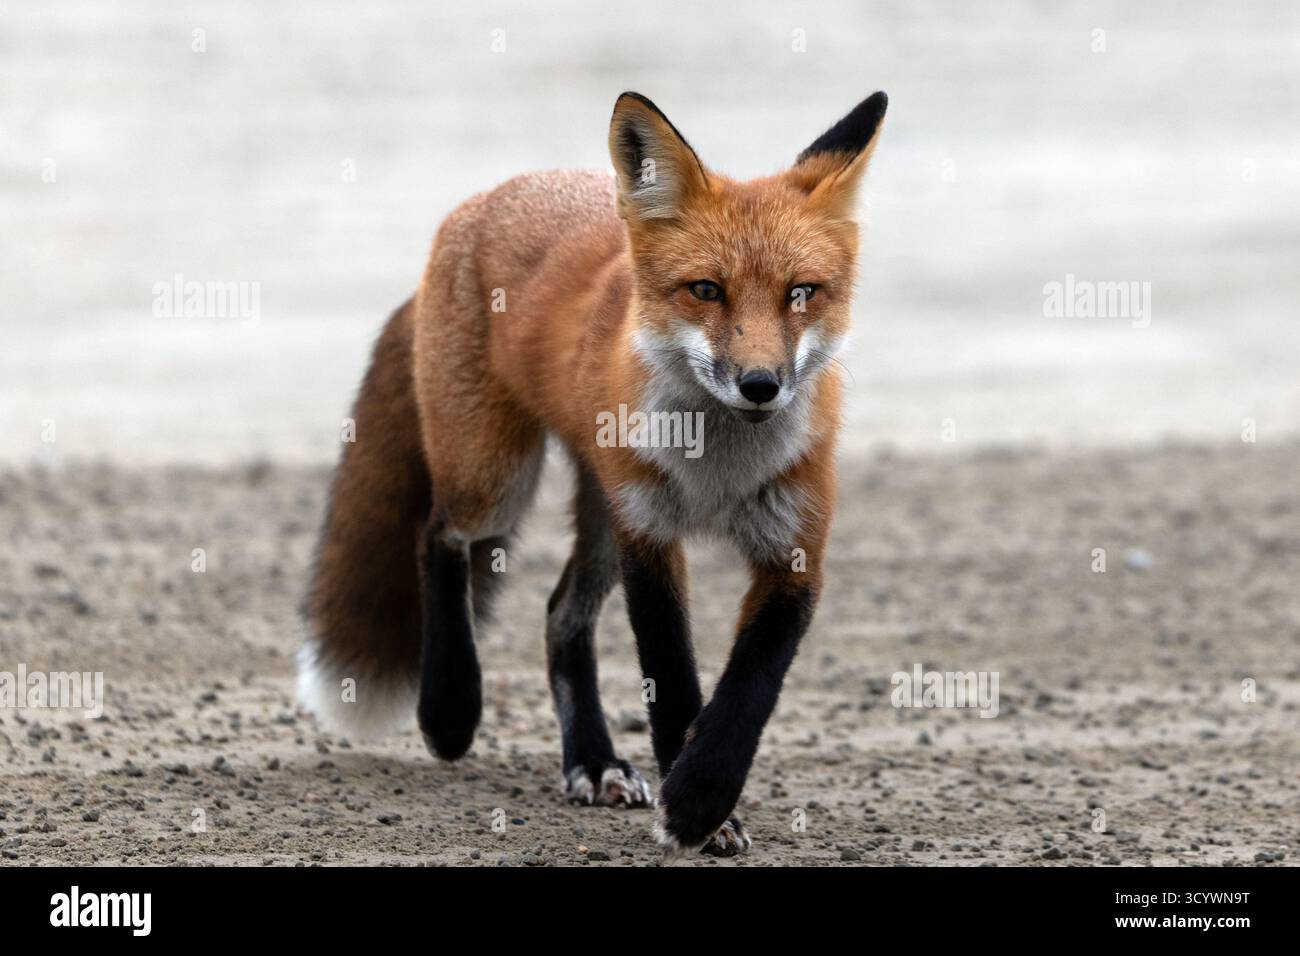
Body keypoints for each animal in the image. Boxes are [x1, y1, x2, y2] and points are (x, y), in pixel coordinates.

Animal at [298, 90, 888, 856]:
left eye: (801, 293)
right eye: (706, 290)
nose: (761, 386)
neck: (718, 472)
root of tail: (487, 198)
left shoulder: (794, 552)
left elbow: (749, 690)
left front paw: (702, 794)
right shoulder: (650, 535)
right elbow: (672, 678)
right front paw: (697, 811)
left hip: (599, 513)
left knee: (559, 616)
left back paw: (593, 761)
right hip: (498, 480)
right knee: (438, 535)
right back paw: (451, 707)